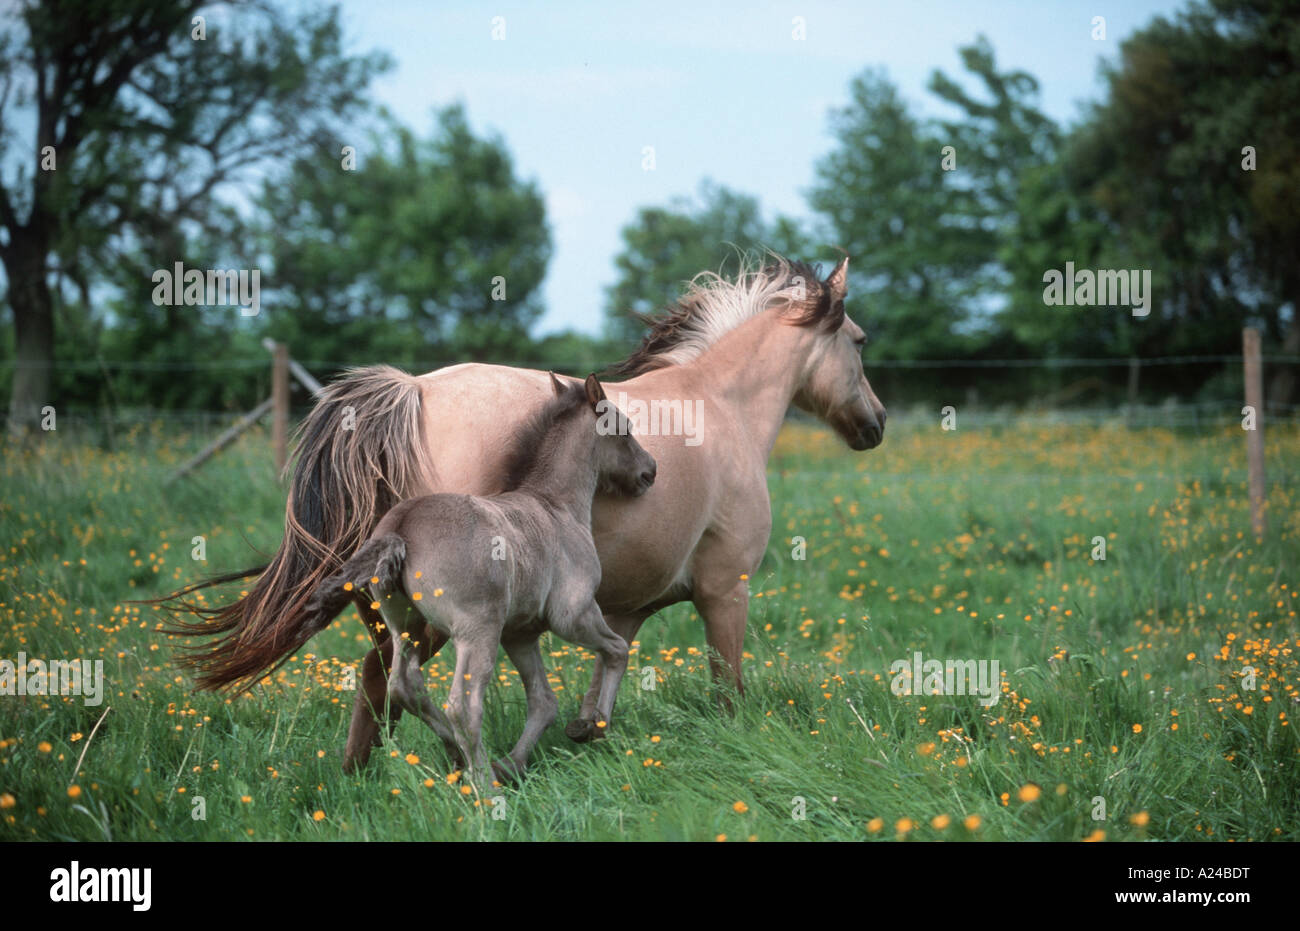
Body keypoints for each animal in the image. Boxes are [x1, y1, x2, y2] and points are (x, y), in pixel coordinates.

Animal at [298, 374, 655, 788]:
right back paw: (484, 786)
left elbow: (543, 702)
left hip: (406, 625)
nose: (650, 471)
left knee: (404, 685)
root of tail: (400, 529)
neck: (556, 506)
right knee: (463, 706)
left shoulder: (520, 633)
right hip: (477, 630)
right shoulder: (574, 614)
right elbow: (617, 650)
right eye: (625, 429)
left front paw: (514, 763)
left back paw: (457, 754)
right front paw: (593, 726)